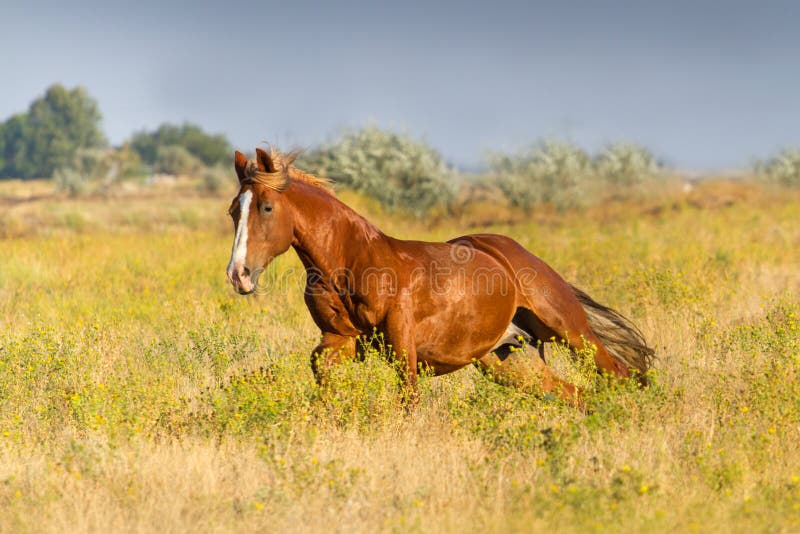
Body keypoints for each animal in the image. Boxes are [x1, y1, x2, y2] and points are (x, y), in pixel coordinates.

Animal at [225, 147, 654, 405]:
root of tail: (513, 252)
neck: (351, 263)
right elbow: (321, 370)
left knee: (616, 373)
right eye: (233, 210)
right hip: (507, 359)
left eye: (266, 207)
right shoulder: (339, 340)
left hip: (569, 331)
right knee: (573, 395)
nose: (238, 275)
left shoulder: (403, 345)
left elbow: (408, 401)